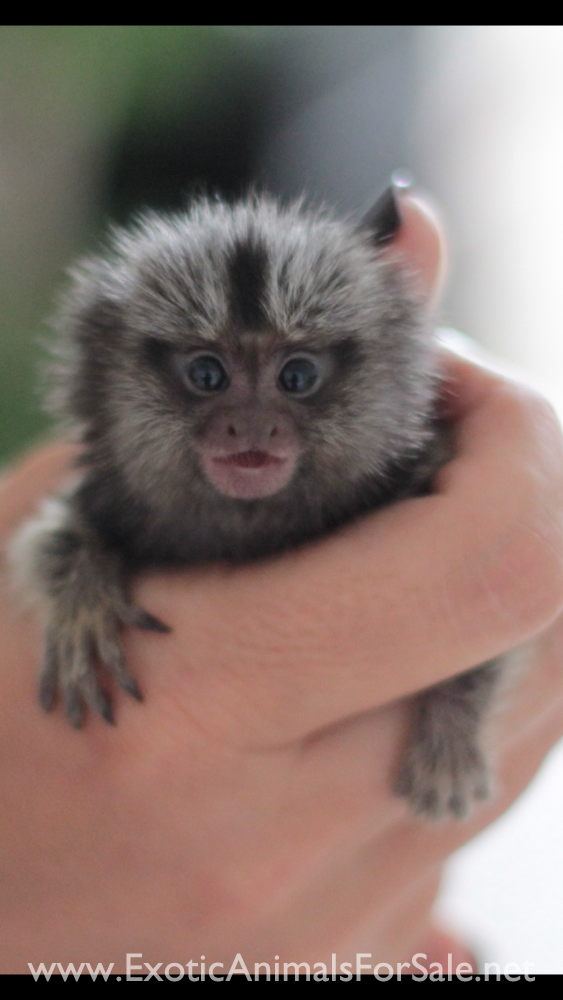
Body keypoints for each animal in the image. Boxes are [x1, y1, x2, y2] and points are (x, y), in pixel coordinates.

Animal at [9, 186, 502, 820]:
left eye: (297, 376)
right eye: (206, 374)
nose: (249, 426)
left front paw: (450, 734)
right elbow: (51, 535)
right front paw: (81, 601)